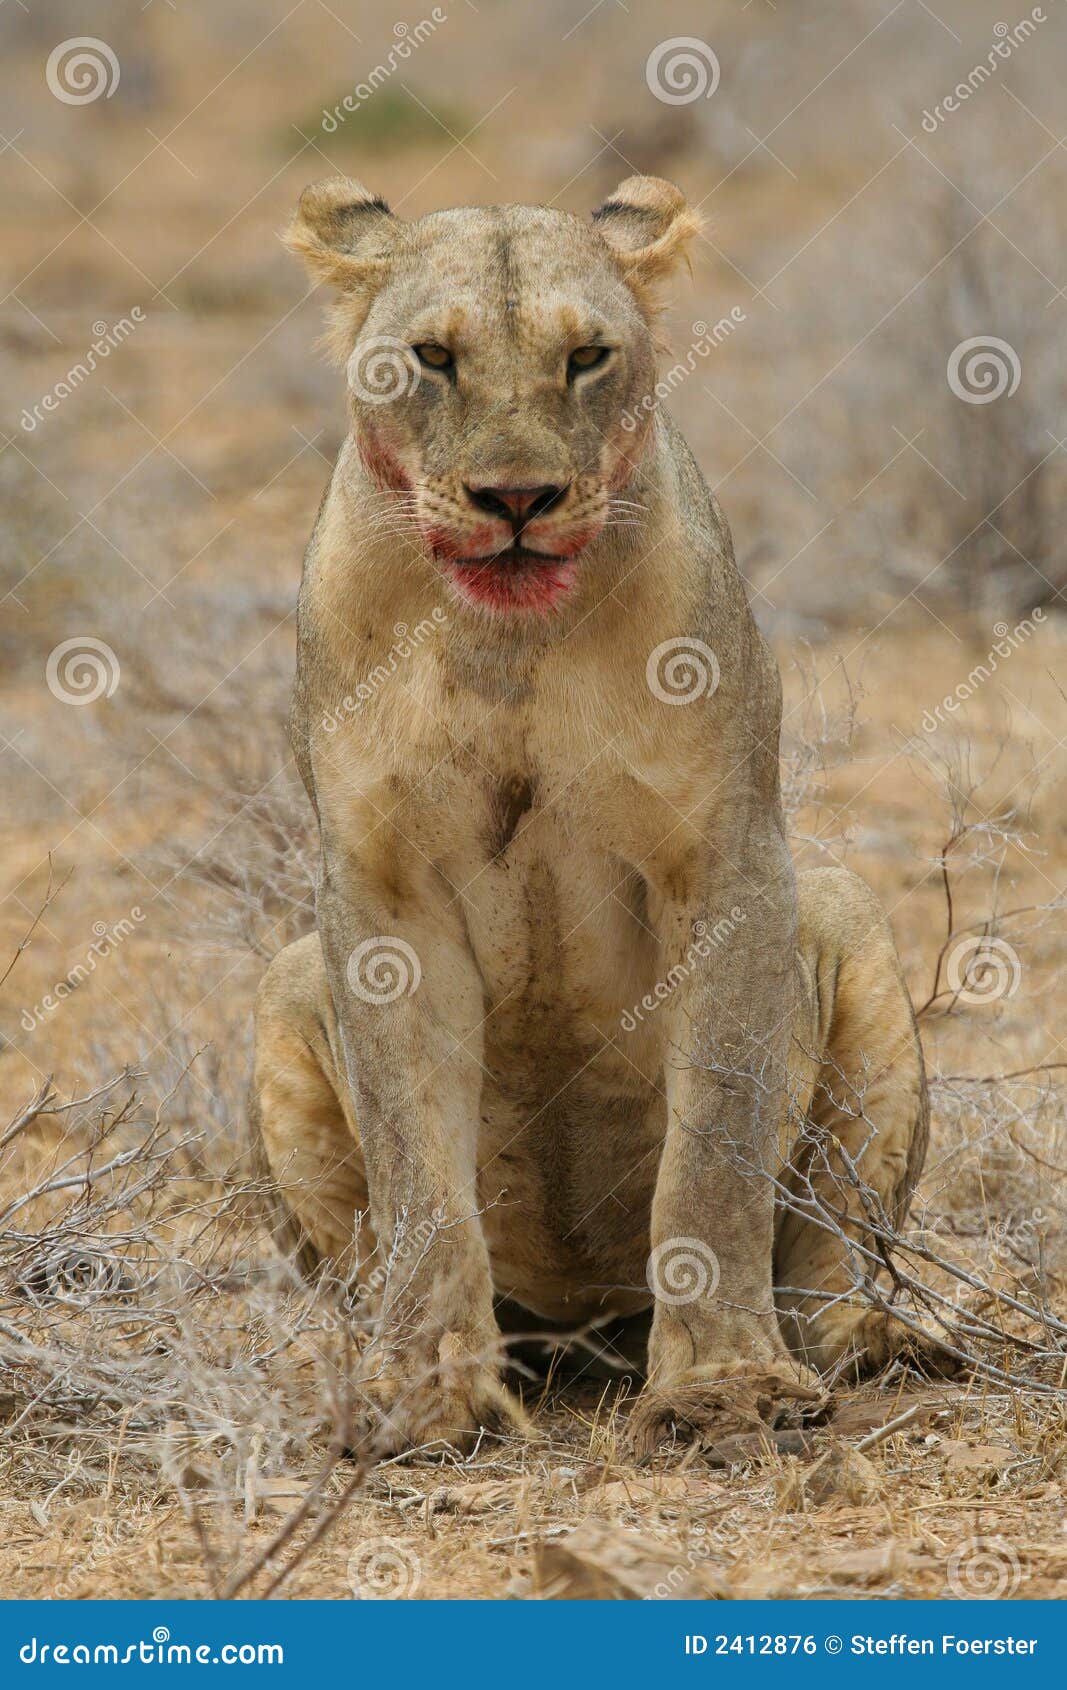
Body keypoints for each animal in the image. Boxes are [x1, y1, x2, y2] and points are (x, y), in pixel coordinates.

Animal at [250, 174, 944, 1457]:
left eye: (585, 357)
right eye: (431, 357)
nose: (516, 499)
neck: (509, 647)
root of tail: (583, 1326)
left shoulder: (726, 863)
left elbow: (712, 1148)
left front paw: (725, 1384)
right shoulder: (379, 890)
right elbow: (418, 1170)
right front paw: (422, 1392)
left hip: (848, 917)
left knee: (834, 1253)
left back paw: (871, 1339)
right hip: (283, 981)